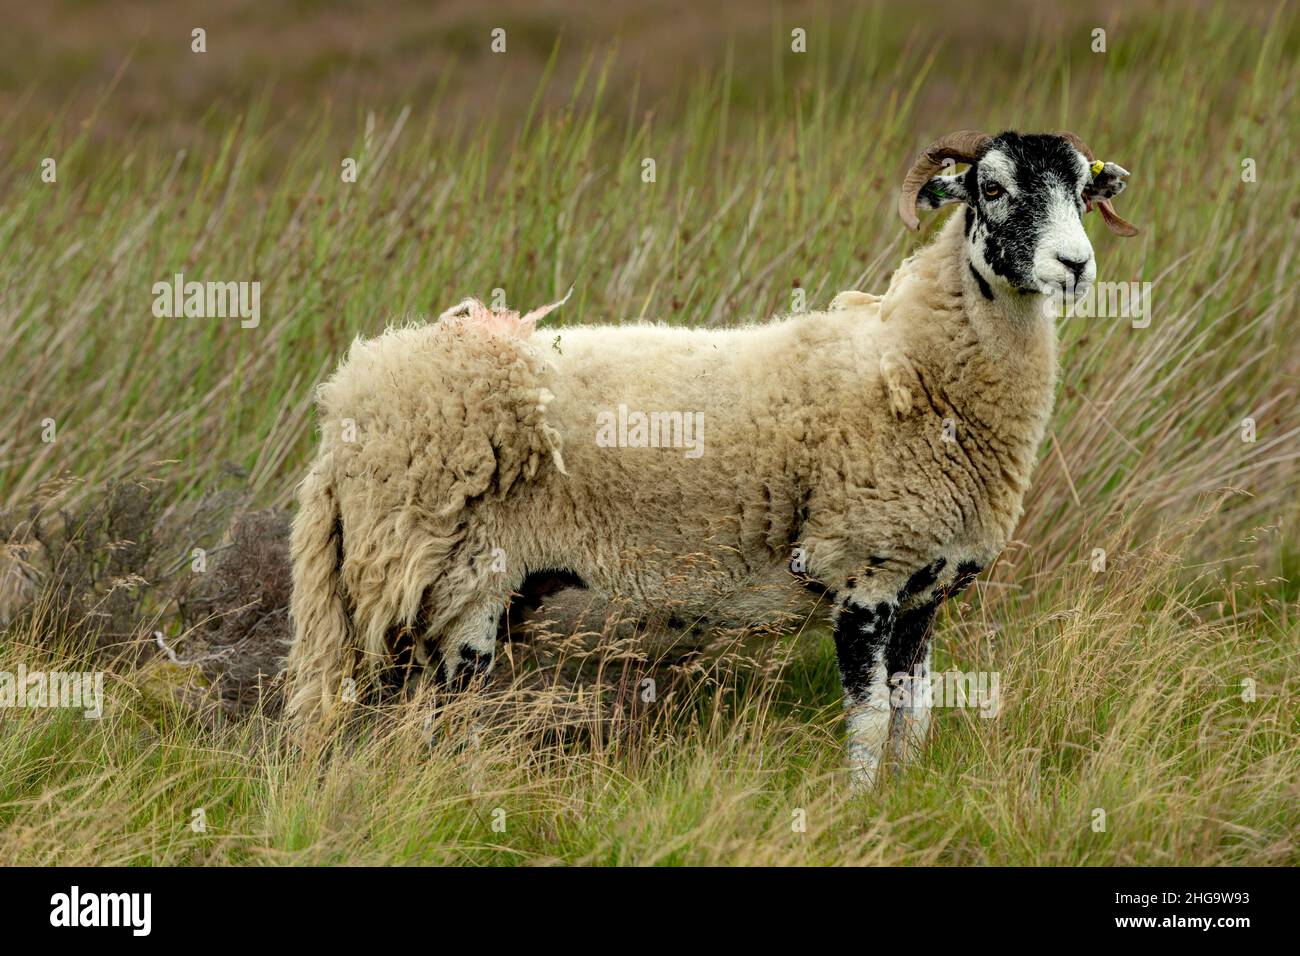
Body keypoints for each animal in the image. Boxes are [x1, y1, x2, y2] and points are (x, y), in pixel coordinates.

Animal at [286, 129, 1136, 785]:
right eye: (991, 188)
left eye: (1083, 192)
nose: (1075, 267)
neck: (912, 360)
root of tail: (349, 396)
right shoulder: (861, 573)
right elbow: (866, 726)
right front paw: (863, 808)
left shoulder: (922, 592)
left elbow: (913, 722)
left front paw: (906, 797)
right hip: (443, 583)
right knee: (420, 723)